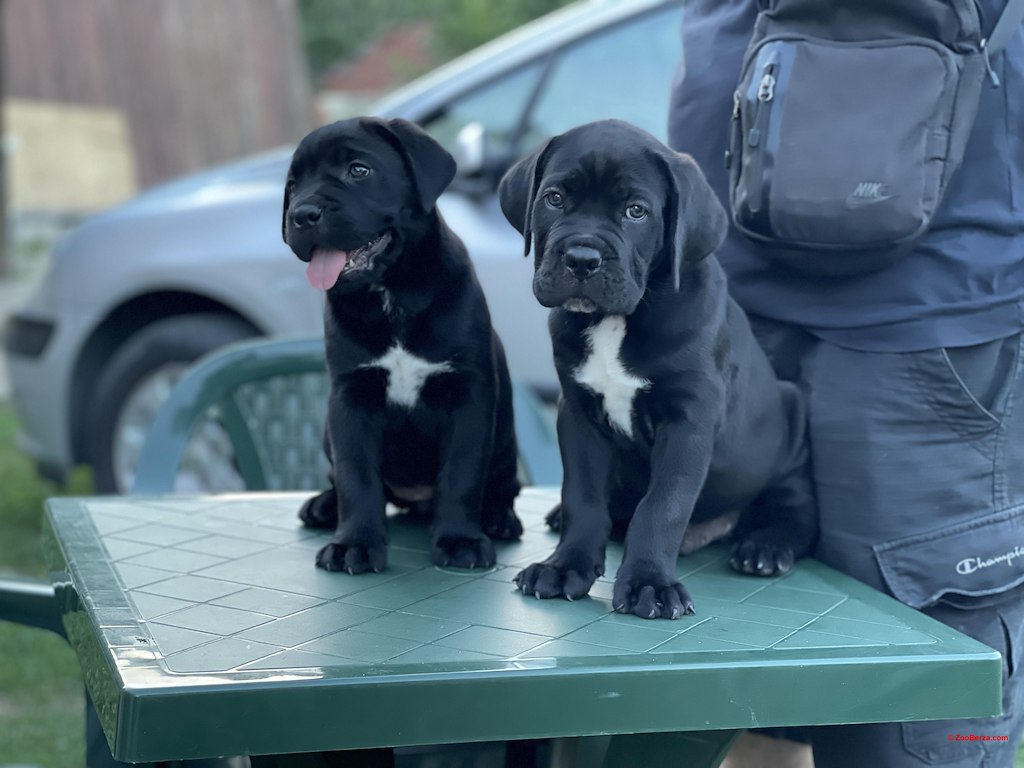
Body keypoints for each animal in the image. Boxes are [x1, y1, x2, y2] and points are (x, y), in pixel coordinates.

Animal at [282, 117, 524, 573]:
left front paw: (460, 540)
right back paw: (322, 507)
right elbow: (356, 476)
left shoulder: (468, 396)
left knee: (502, 485)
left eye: (358, 170)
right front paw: (354, 543)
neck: (391, 293)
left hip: (505, 440)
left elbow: (461, 473)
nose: (301, 214)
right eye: (292, 184)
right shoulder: (350, 399)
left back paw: (499, 519)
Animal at [495, 123, 815, 622]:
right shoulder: (578, 413)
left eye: (636, 211)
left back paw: (765, 545)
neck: (615, 321)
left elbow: (663, 504)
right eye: (554, 199)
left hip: (791, 417)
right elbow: (583, 496)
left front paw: (650, 583)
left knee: (795, 505)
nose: (582, 258)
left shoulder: (687, 422)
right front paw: (565, 567)